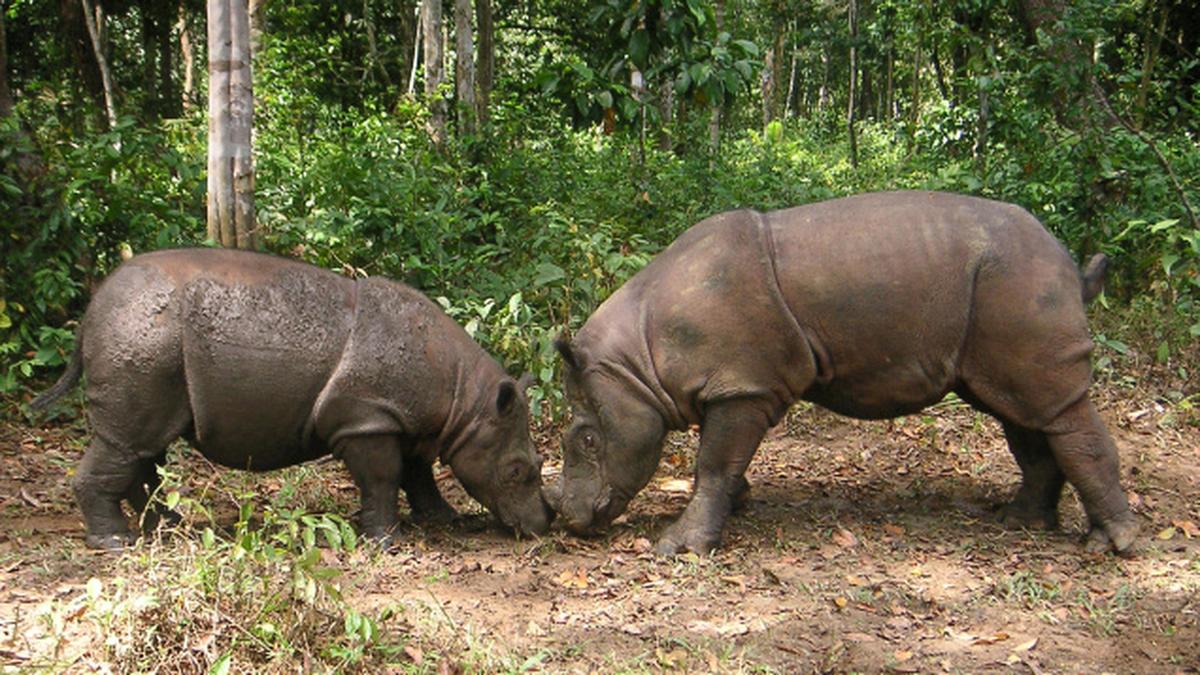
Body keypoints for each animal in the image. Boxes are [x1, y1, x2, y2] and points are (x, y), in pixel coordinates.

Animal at [32, 248, 552, 549]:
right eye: (517, 471)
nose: (544, 523)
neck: (467, 403)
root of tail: (93, 308)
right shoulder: (365, 418)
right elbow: (385, 478)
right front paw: (388, 543)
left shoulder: (406, 421)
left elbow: (419, 475)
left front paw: (447, 521)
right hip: (141, 336)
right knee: (128, 443)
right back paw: (116, 543)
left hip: (144, 343)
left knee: (146, 446)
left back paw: (168, 529)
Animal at [546, 191, 1137, 556]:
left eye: (588, 440)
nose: (569, 520)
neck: (637, 365)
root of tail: (1068, 265)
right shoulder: (737, 385)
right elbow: (725, 463)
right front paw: (739, 504)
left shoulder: (743, 386)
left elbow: (712, 462)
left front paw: (680, 546)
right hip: (1003, 297)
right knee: (1022, 410)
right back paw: (1020, 522)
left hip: (1018, 281)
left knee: (1051, 408)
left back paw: (1112, 546)